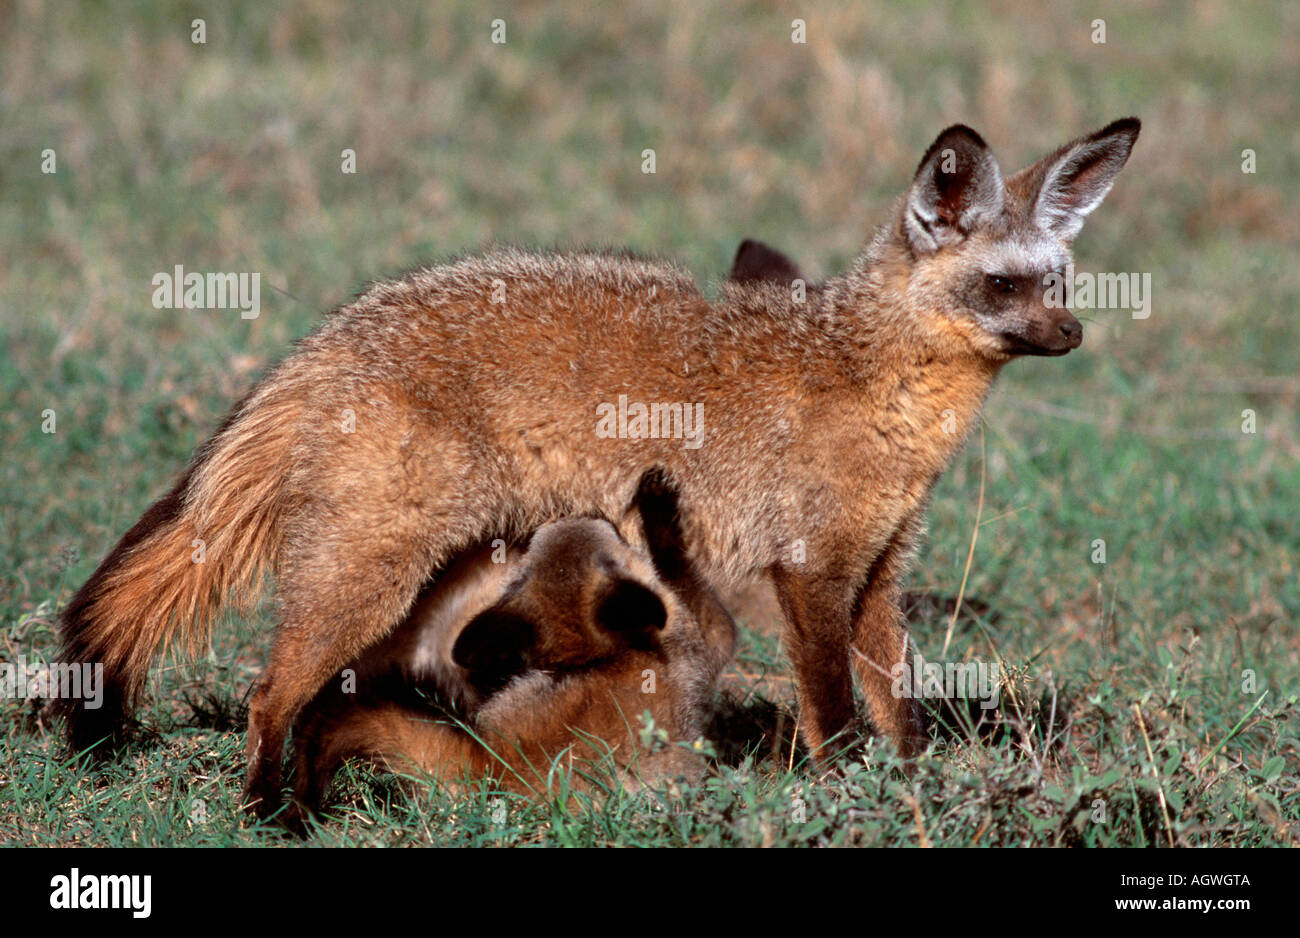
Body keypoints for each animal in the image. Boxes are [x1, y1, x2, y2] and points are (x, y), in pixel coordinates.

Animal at [292, 472, 736, 815]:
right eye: (611, 541)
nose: (585, 510)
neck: (605, 656)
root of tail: (487, 761)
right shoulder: (706, 636)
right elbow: (679, 566)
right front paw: (656, 507)